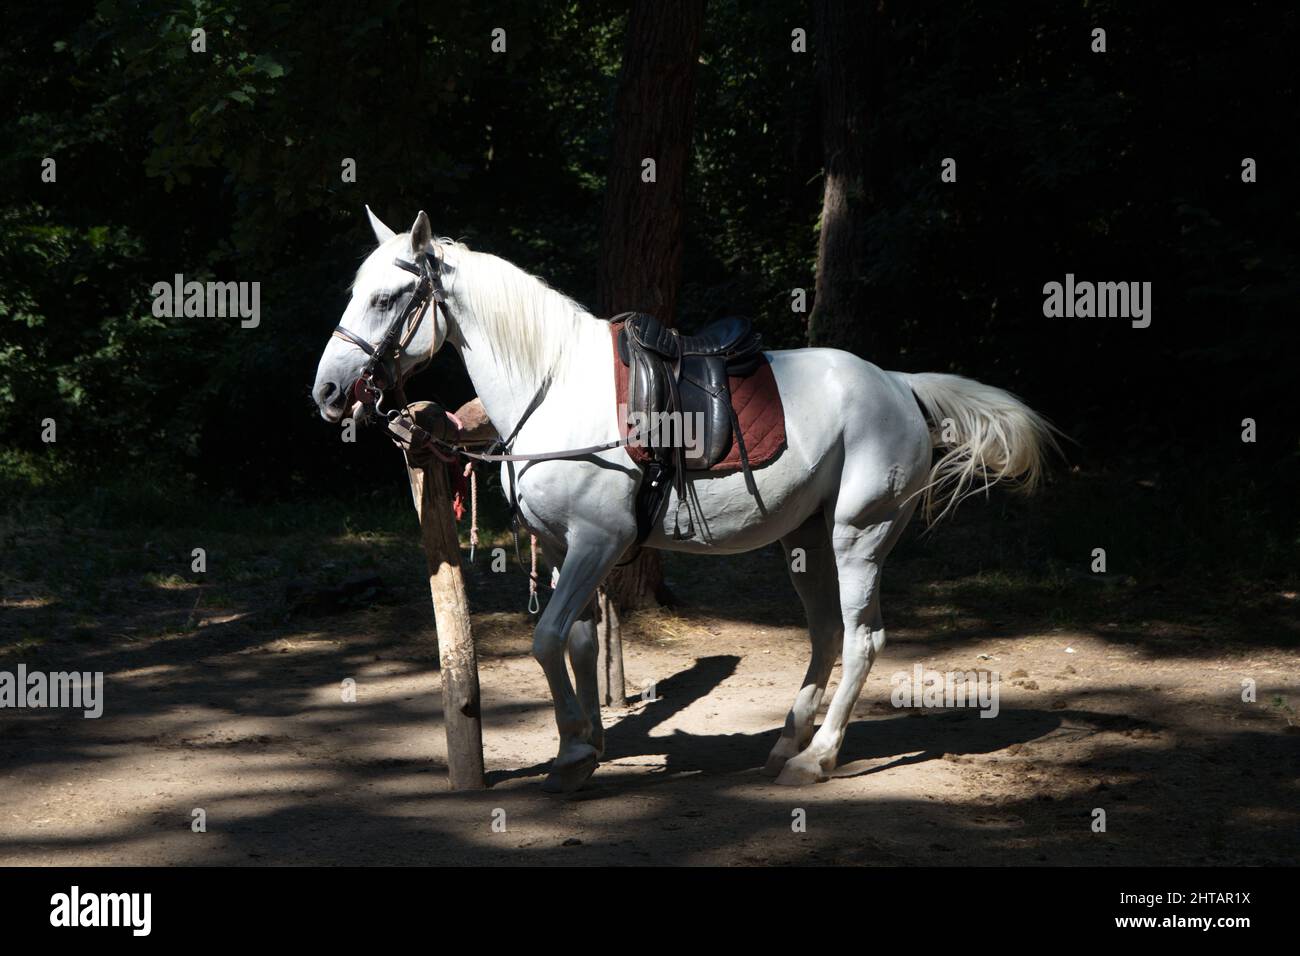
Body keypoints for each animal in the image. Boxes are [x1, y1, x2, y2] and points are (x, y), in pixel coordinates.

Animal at [313, 208, 1058, 792]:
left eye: (387, 299)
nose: (327, 391)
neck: (552, 386)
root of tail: (899, 385)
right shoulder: (561, 545)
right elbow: (576, 639)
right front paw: (580, 746)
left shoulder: (598, 541)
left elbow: (547, 637)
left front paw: (576, 752)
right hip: (807, 538)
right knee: (826, 632)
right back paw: (784, 743)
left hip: (858, 537)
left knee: (863, 638)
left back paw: (816, 758)